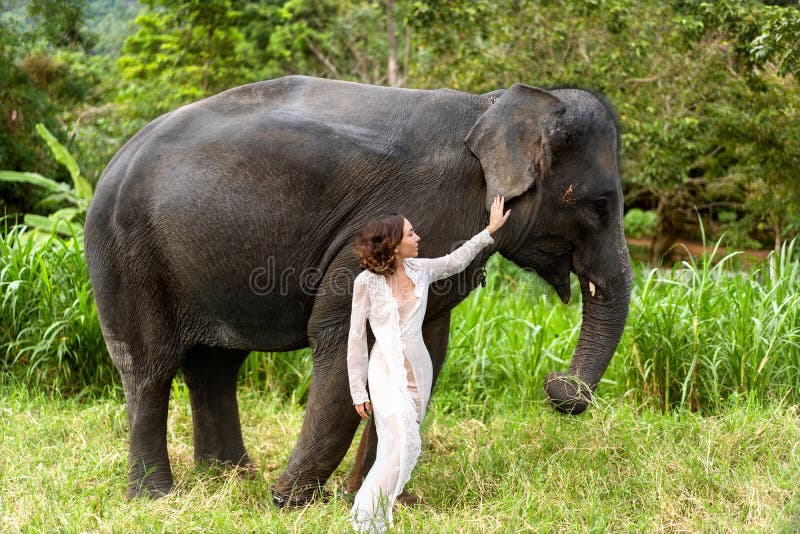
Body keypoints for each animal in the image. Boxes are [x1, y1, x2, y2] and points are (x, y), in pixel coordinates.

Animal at [83, 75, 631, 502]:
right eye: (599, 205)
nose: (557, 387)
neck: (490, 104)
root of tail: (115, 160)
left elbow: (426, 348)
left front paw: (384, 498)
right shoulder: (400, 220)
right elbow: (345, 336)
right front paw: (291, 502)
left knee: (214, 367)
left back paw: (230, 479)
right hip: (127, 257)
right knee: (148, 370)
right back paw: (156, 496)